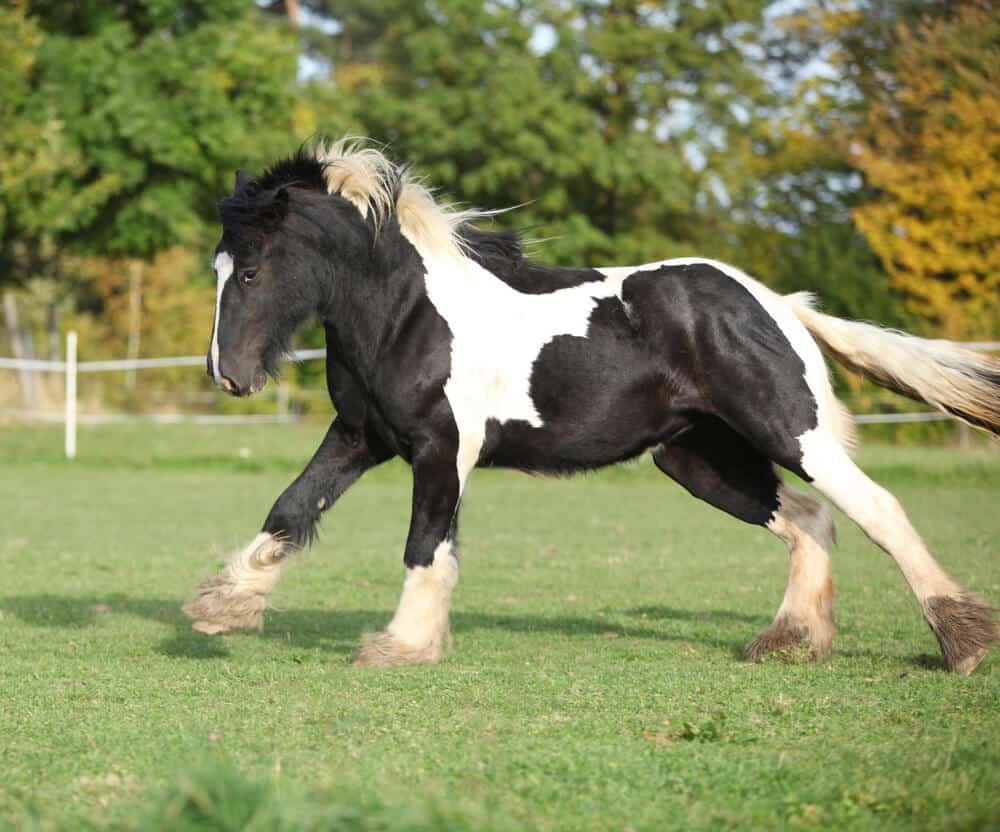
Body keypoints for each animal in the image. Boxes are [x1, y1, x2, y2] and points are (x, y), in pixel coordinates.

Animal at [184, 138, 999, 674]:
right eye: (220, 267)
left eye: (251, 271)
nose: (229, 376)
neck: (407, 312)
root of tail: (778, 304)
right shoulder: (362, 437)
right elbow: (292, 508)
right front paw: (220, 607)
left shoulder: (443, 450)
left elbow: (425, 546)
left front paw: (402, 645)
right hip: (698, 456)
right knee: (807, 519)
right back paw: (791, 641)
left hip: (788, 431)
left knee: (875, 509)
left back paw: (962, 643)